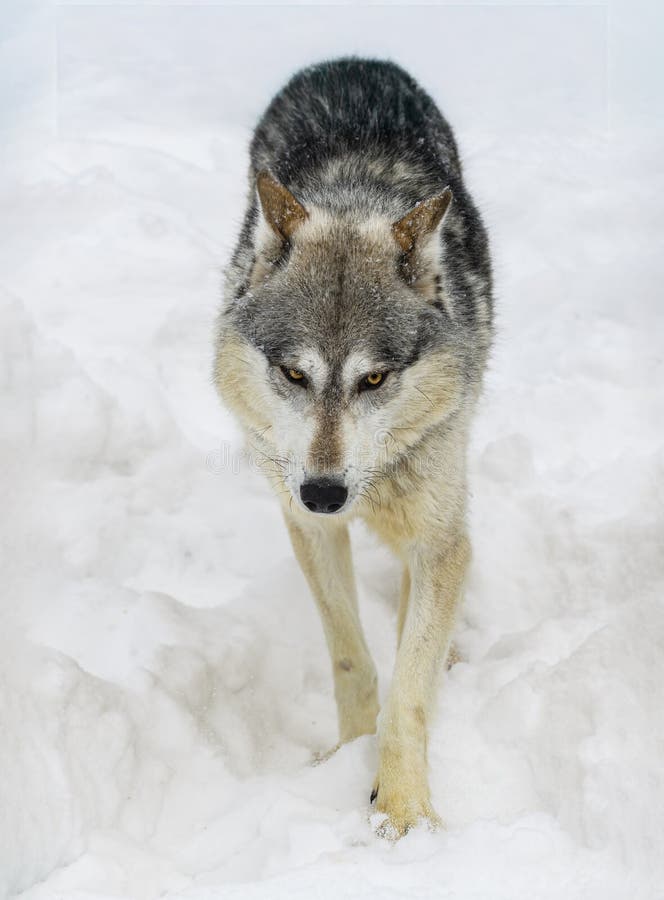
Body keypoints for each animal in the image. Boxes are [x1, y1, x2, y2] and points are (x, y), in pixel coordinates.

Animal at [214, 57, 492, 837]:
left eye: (373, 377)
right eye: (294, 374)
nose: (324, 492)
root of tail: (351, 59)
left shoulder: (439, 538)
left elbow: (411, 688)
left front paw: (402, 814)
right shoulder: (306, 526)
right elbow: (352, 661)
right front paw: (347, 759)